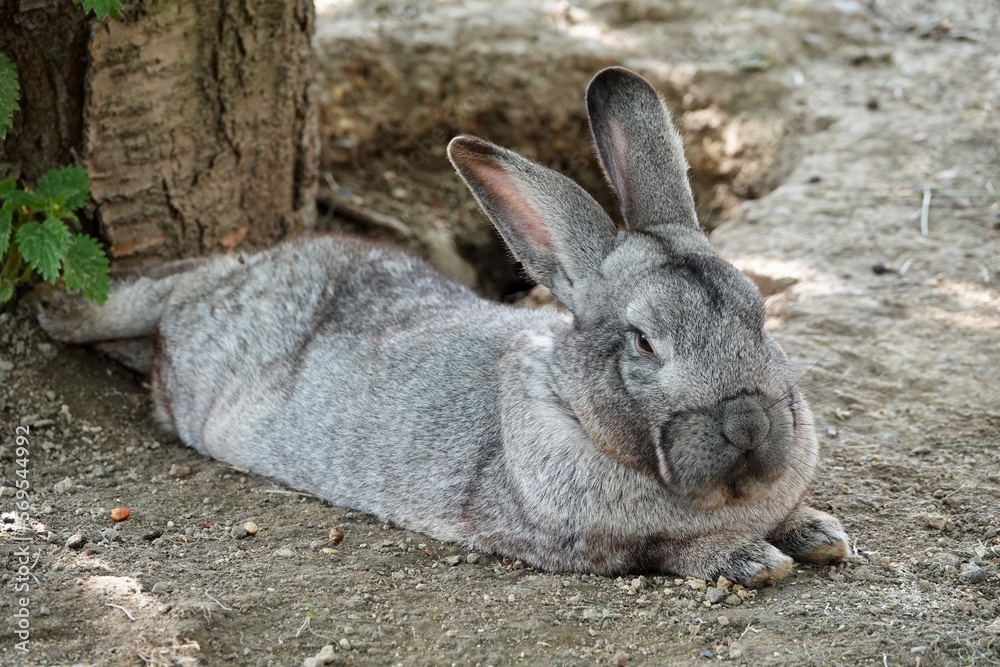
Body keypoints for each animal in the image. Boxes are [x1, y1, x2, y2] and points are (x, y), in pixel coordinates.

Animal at [37, 66, 848, 585]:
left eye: (758, 311)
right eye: (645, 341)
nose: (749, 423)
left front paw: (820, 534)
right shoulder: (588, 543)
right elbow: (669, 554)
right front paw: (753, 561)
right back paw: (63, 309)